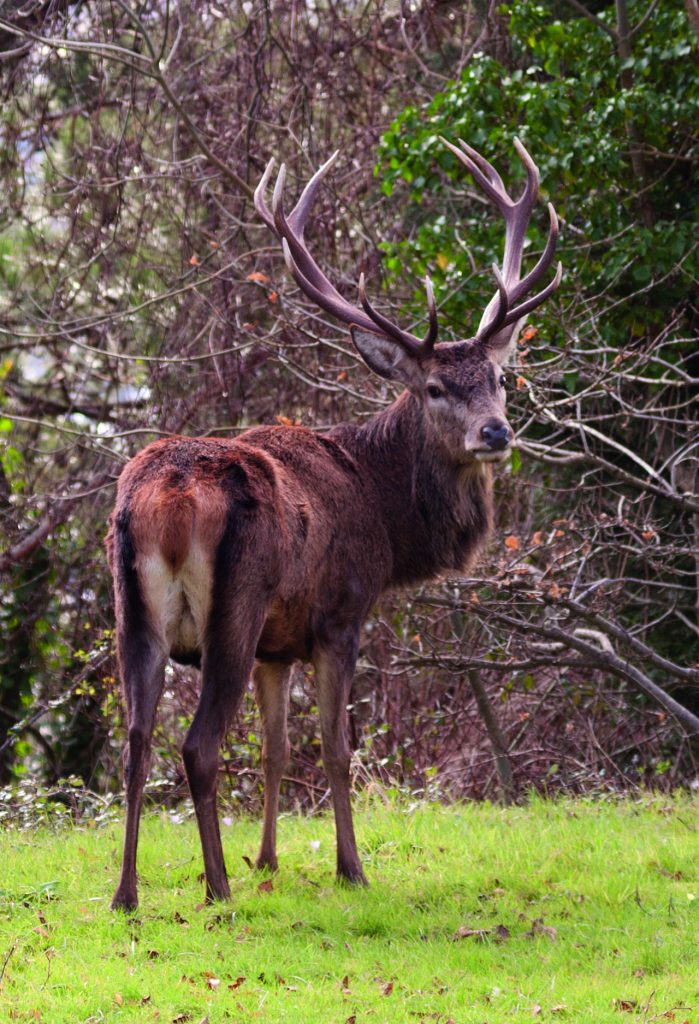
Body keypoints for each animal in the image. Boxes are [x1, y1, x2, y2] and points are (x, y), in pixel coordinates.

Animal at [107, 137, 561, 911]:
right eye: (433, 387)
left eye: (498, 379)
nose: (495, 433)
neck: (383, 512)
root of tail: (165, 498)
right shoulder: (340, 614)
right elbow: (335, 746)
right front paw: (351, 867)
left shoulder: (276, 646)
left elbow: (276, 748)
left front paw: (268, 860)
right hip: (234, 605)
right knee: (197, 746)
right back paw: (216, 888)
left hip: (131, 610)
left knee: (137, 740)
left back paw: (127, 895)